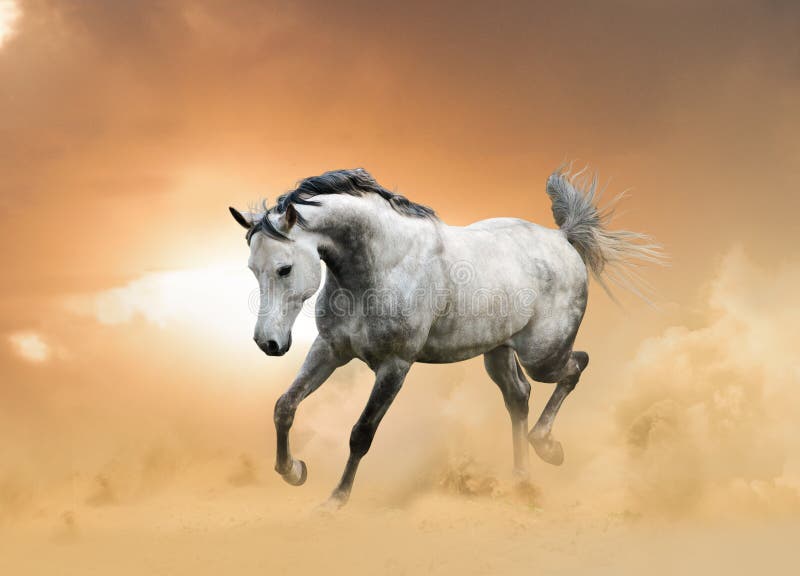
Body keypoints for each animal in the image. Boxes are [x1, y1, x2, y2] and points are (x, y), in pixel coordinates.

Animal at [229, 167, 662, 507]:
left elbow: (361, 434)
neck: (382, 265)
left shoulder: (395, 367)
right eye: (252, 268)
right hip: (497, 352)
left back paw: (548, 448)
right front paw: (294, 470)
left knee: (576, 366)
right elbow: (284, 407)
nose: (268, 343)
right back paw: (522, 481)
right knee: (518, 397)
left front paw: (335, 500)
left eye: (284, 268)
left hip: (542, 354)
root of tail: (562, 239)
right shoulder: (330, 350)